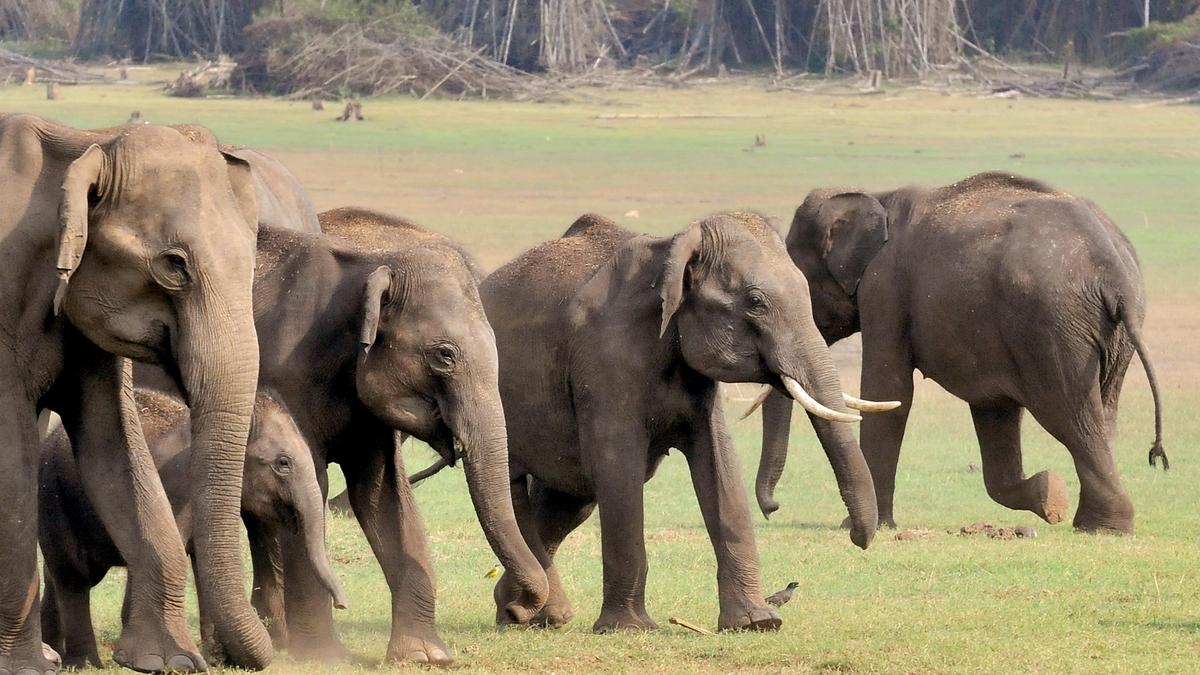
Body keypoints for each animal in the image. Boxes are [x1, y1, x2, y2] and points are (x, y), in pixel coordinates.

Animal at [0, 114, 269, 673]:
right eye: (174, 264)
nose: (227, 657)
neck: (87, 143)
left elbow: (113, 446)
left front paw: (168, 661)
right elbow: (11, 457)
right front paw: (26, 666)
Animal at [39, 389, 345, 670]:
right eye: (283, 463)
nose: (342, 604)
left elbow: (201, 562)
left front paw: (213, 656)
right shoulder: (179, 488)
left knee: (57, 577)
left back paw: (57, 653)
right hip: (54, 501)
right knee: (74, 577)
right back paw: (84, 664)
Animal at [138, 207, 548, 664]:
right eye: (444, 355)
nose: (517, 612)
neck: (373, 265)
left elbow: (382, 493)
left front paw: (424, 657)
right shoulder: (284, 376)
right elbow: (314, 485)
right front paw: (326, 657)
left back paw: (268, 638)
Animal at [480, 212, 891, 634]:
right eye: (755, 302)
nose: (857, 538)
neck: (674, 251)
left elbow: (719, 464)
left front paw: (757, 623)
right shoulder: (604, 357)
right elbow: (617, 468)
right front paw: (630, 629)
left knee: (568, 501)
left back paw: (522, 614)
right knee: (519, 493)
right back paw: (537, 612)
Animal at [751, 171, 1166, 535]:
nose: (773, 509)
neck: (876, 197)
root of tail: (1111, 271)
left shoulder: (885, 287)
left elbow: (890, 391)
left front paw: (865, 526)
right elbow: (993, 409)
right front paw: (1048, 493)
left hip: (1052, 327)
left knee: (1072, 415)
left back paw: (1101, 526)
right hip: (1108, 336)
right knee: (1103, 414)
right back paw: (1088, 520)